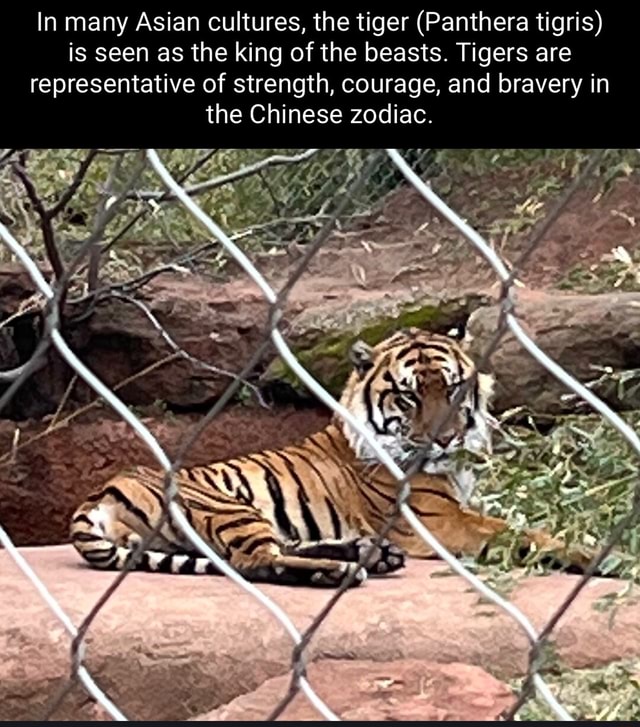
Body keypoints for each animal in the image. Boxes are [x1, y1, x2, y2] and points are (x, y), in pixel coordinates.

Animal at [70, 326, 599, 588]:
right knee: (256, 561)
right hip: (229, 507)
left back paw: (367, 554)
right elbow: (523, 532)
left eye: (452, 389)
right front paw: (594, 553)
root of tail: (96, 497)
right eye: (409, 395)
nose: (446, 440)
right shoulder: (441, 521)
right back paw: (343, 569)